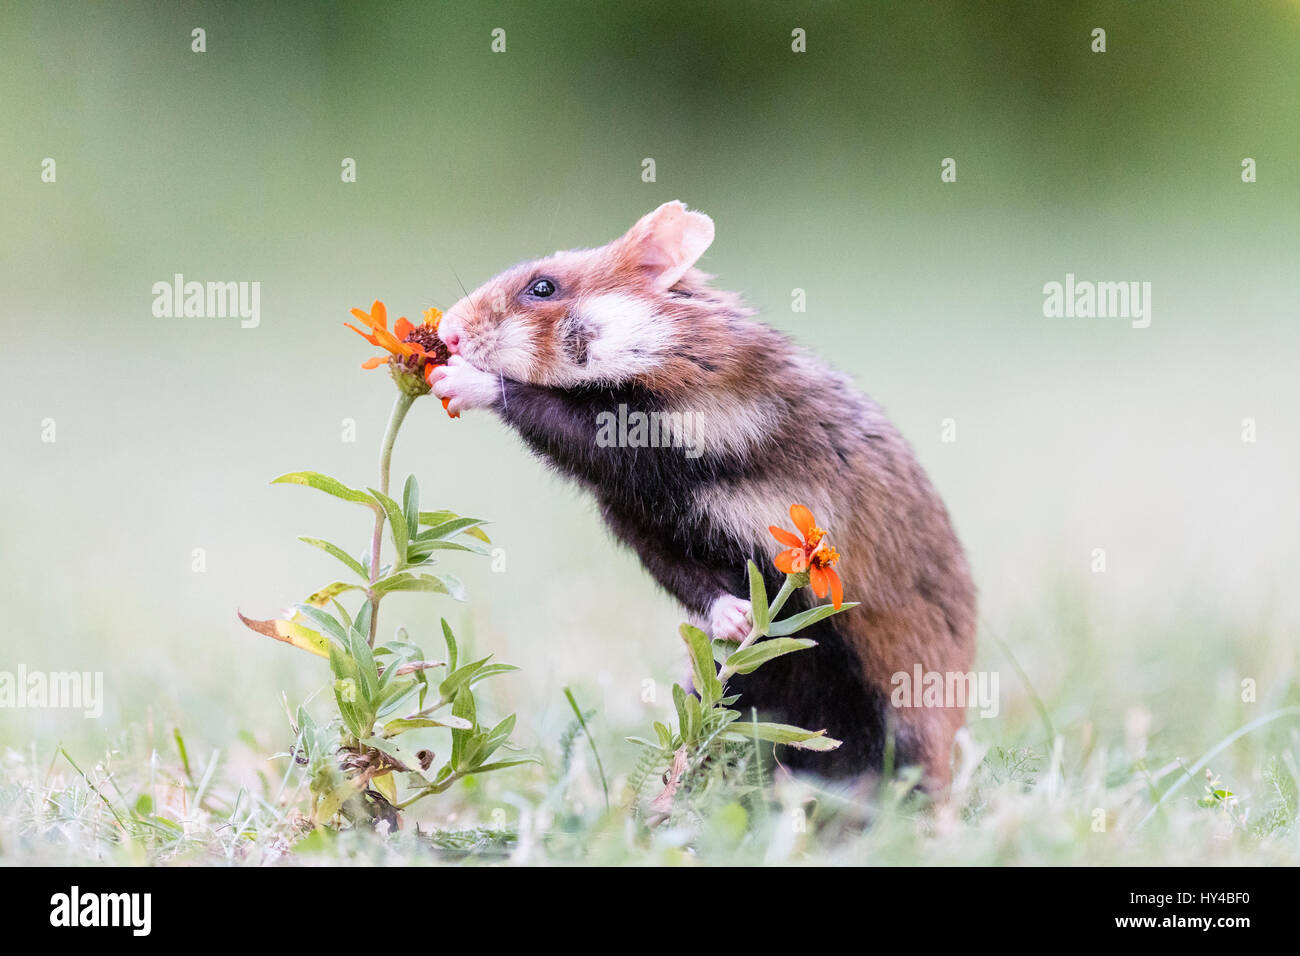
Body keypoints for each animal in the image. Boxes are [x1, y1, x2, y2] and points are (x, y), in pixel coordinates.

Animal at [431, 201, 976, 790]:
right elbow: (694, 583)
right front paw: (738, 622)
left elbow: (544, 407)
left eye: (543, 287)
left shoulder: (666, 435)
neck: (668, 343)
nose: (448, 333)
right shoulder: (642, 524)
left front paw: (455, 379)